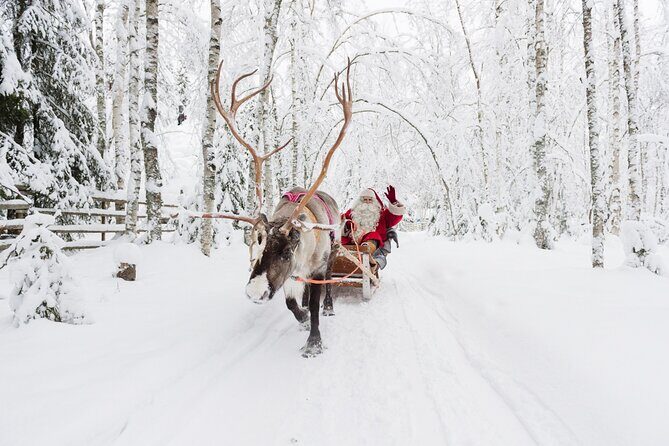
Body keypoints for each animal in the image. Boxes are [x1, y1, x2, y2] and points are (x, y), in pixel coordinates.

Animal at [206, 59, 353, 357]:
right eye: (257, 247)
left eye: (286, 252)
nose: (255, 293)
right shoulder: (291, 276)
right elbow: (291, 304)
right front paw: (303, 316)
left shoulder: (314, 267)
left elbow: (317, 301)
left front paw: (313, 342)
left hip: (334, 251)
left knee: (329, 282)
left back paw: (328, 306)